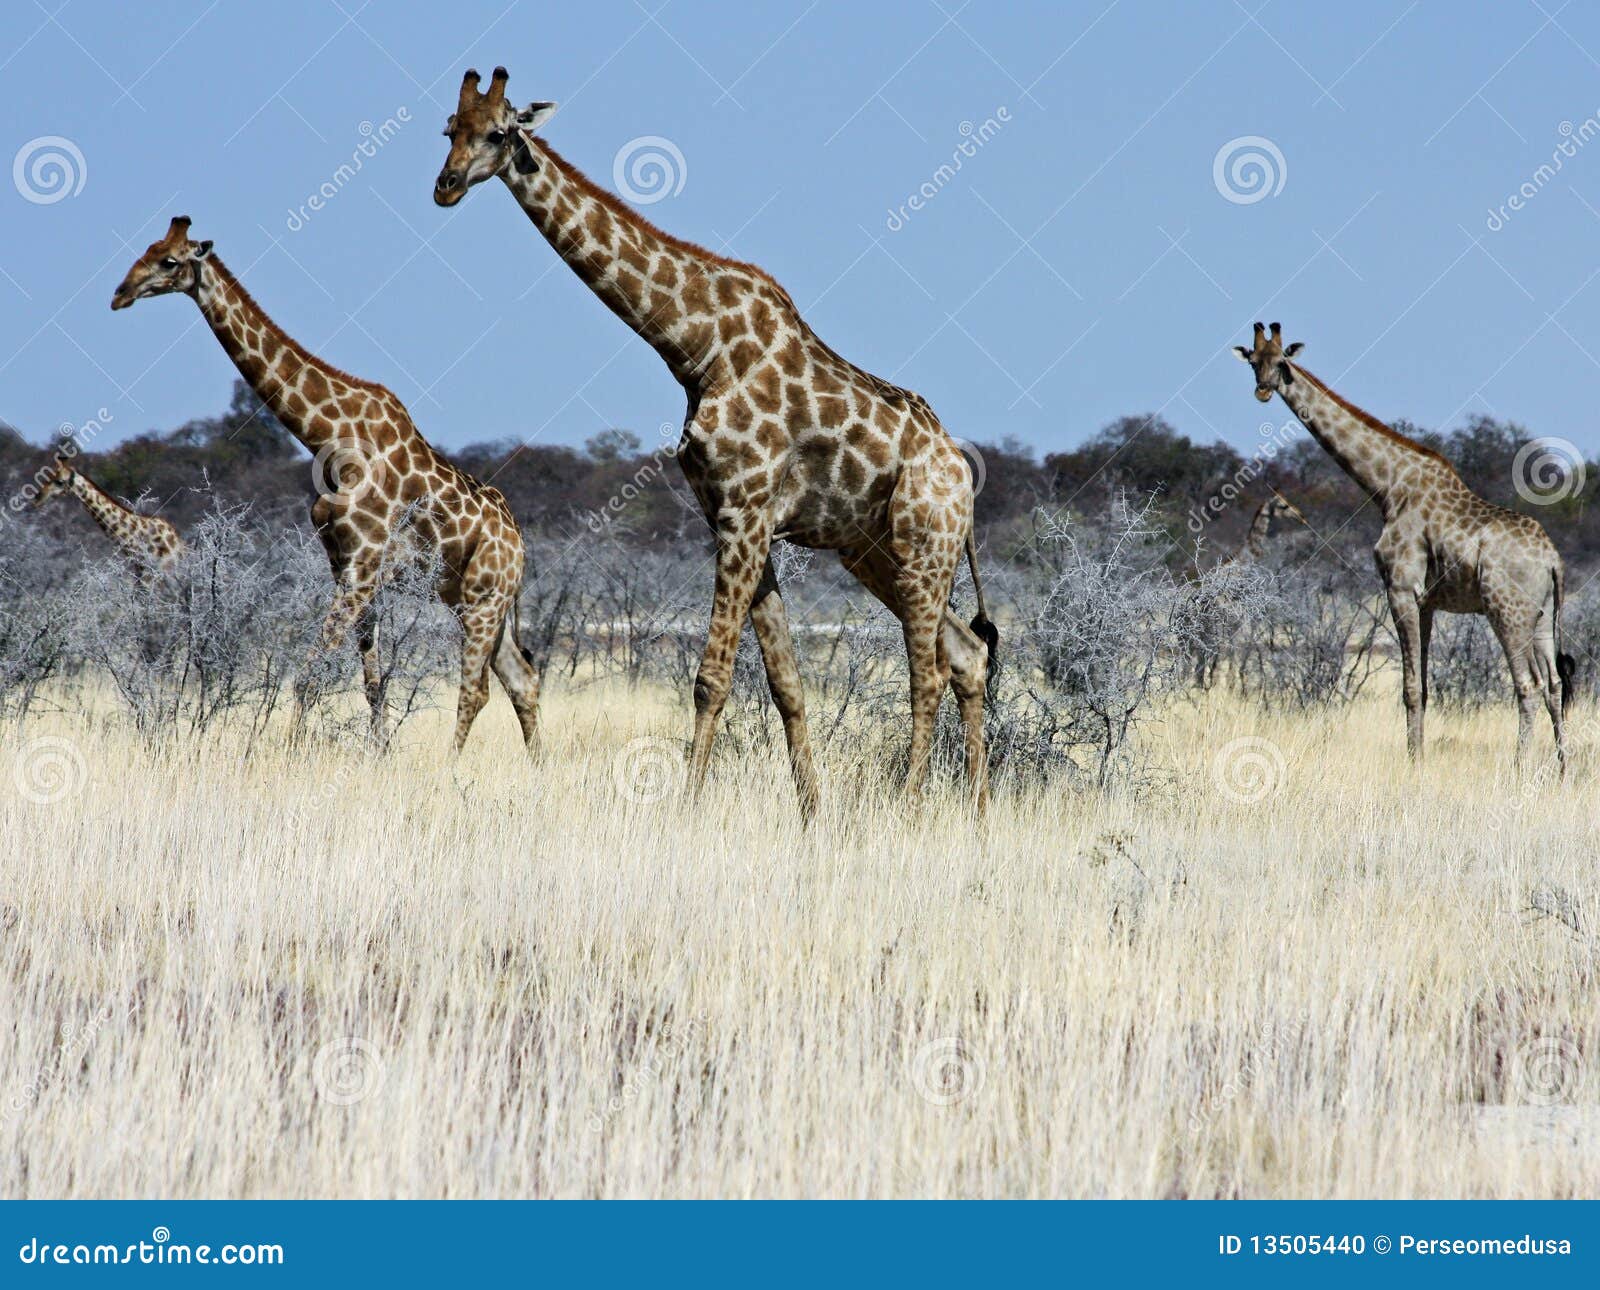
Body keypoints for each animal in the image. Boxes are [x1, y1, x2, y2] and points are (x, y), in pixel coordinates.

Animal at [110, 216, 542, 752]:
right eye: (145, 249)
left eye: (169, 261)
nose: (120, 293)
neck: (329, 438)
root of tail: (520, 547)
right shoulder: (345, 566)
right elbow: (372, 683)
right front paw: (379, 754)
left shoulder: (362, 566)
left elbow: (310, 676)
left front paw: (289, 754)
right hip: (471, 597)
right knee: (522, 678)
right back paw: (537, 765)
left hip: (486, 598)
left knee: (478, 688)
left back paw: (451, 764)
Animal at [432, 68, 996, 815]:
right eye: (449, 128)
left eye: (498, 132)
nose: (445, 185)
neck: (694, 347)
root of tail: (962, 475)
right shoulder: (731, 516)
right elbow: (785, 685)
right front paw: (810, 814)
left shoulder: (745, 510)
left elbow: (712, 677)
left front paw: (687, 809)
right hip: (871, 550)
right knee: (966, 654)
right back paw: (979, 812)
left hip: (924, 543)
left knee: (926, 670)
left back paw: (910, 806)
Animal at [1234, 322, 1573, 768]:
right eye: (1254, 361)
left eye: (1281, 362)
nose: (1262, 390)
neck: (1387, 487)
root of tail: (1553, 560)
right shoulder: (1426, 600)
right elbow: (1423, 687)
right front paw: (1418, 755)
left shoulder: (1399, 588)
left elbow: (1410, 688)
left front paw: (1414, 763)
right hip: (1543, 614)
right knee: (1553, 684)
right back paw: (1562, 767)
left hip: (1507, 611)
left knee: (1528, 684)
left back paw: (1520, 767)